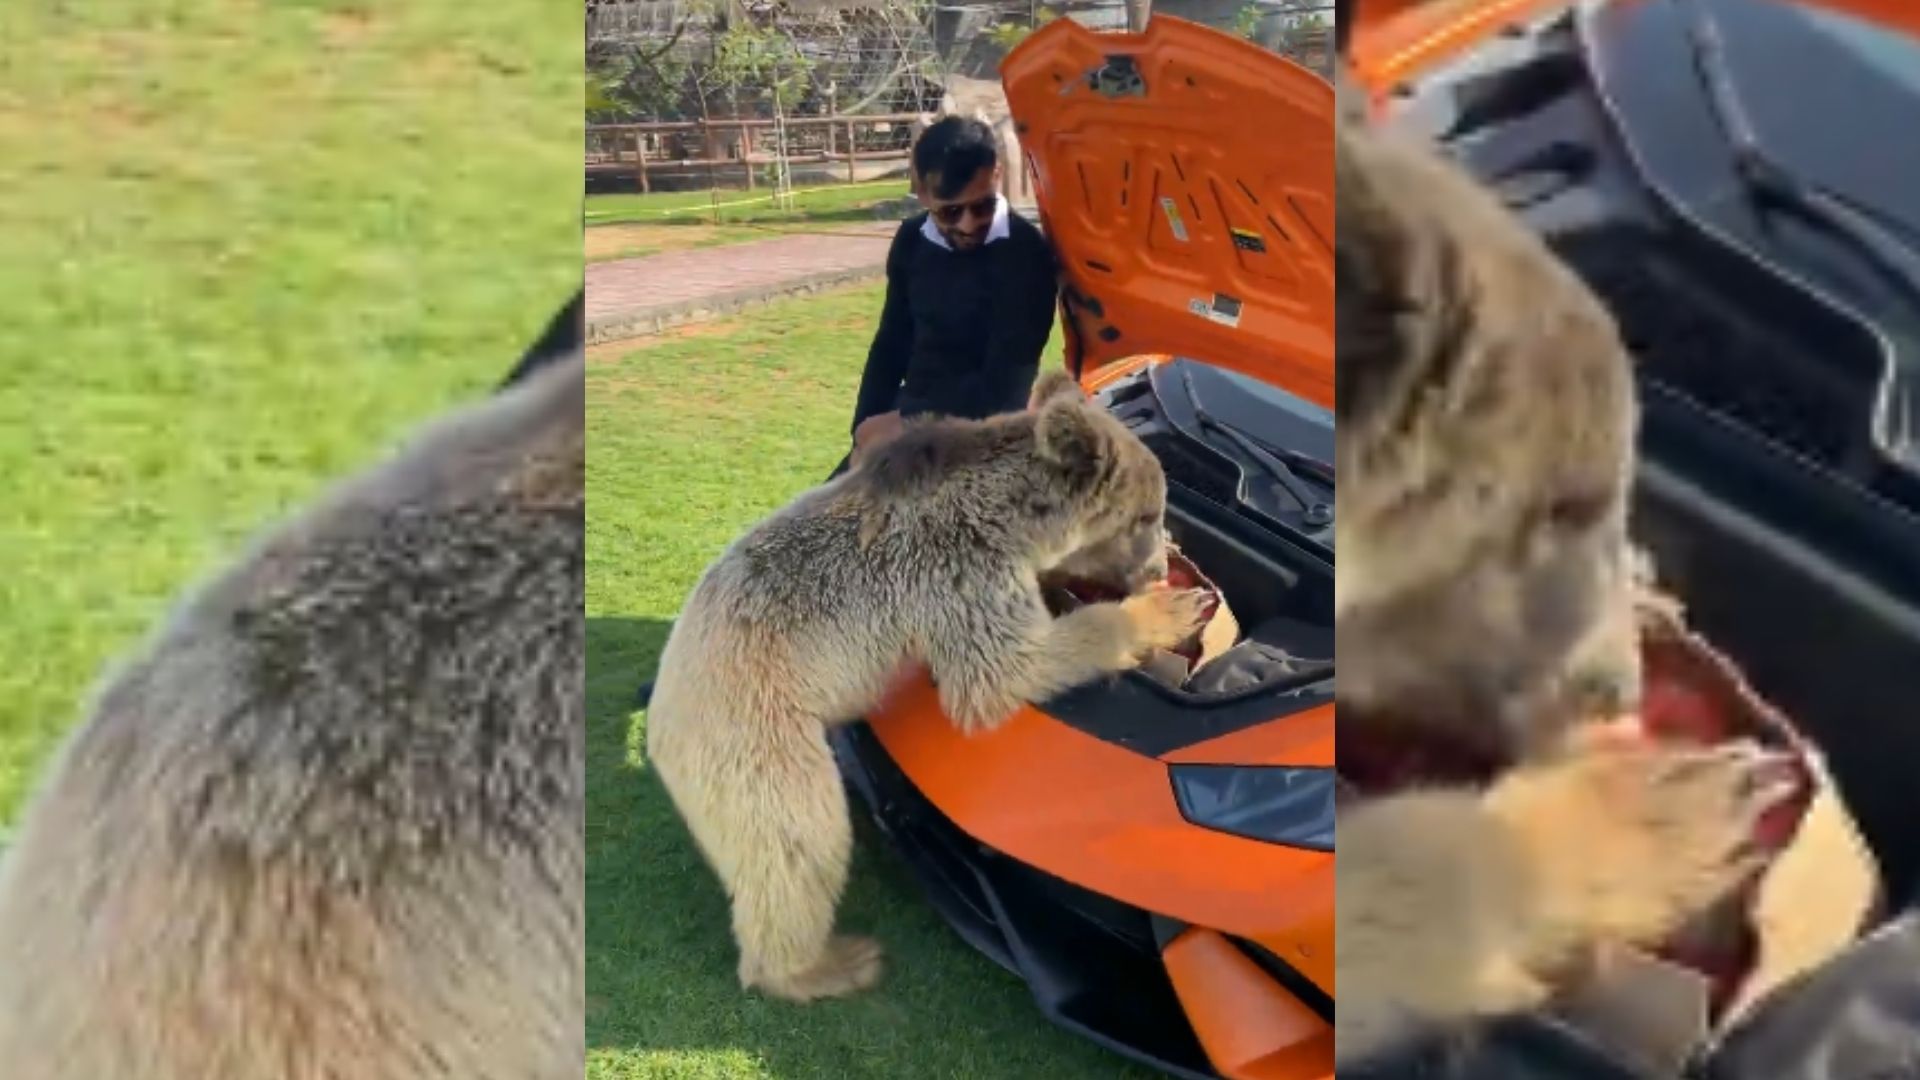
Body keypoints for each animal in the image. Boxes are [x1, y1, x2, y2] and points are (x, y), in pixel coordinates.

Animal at [643, 370, 1208, 1003]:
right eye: (1147, 515)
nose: (1161, 566)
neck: (1013, 518)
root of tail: (660, 724)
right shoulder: (956, 571)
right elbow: (1001, 669)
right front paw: (1171, 612)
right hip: (759, 742)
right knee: (796, 846)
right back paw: (829, 963)